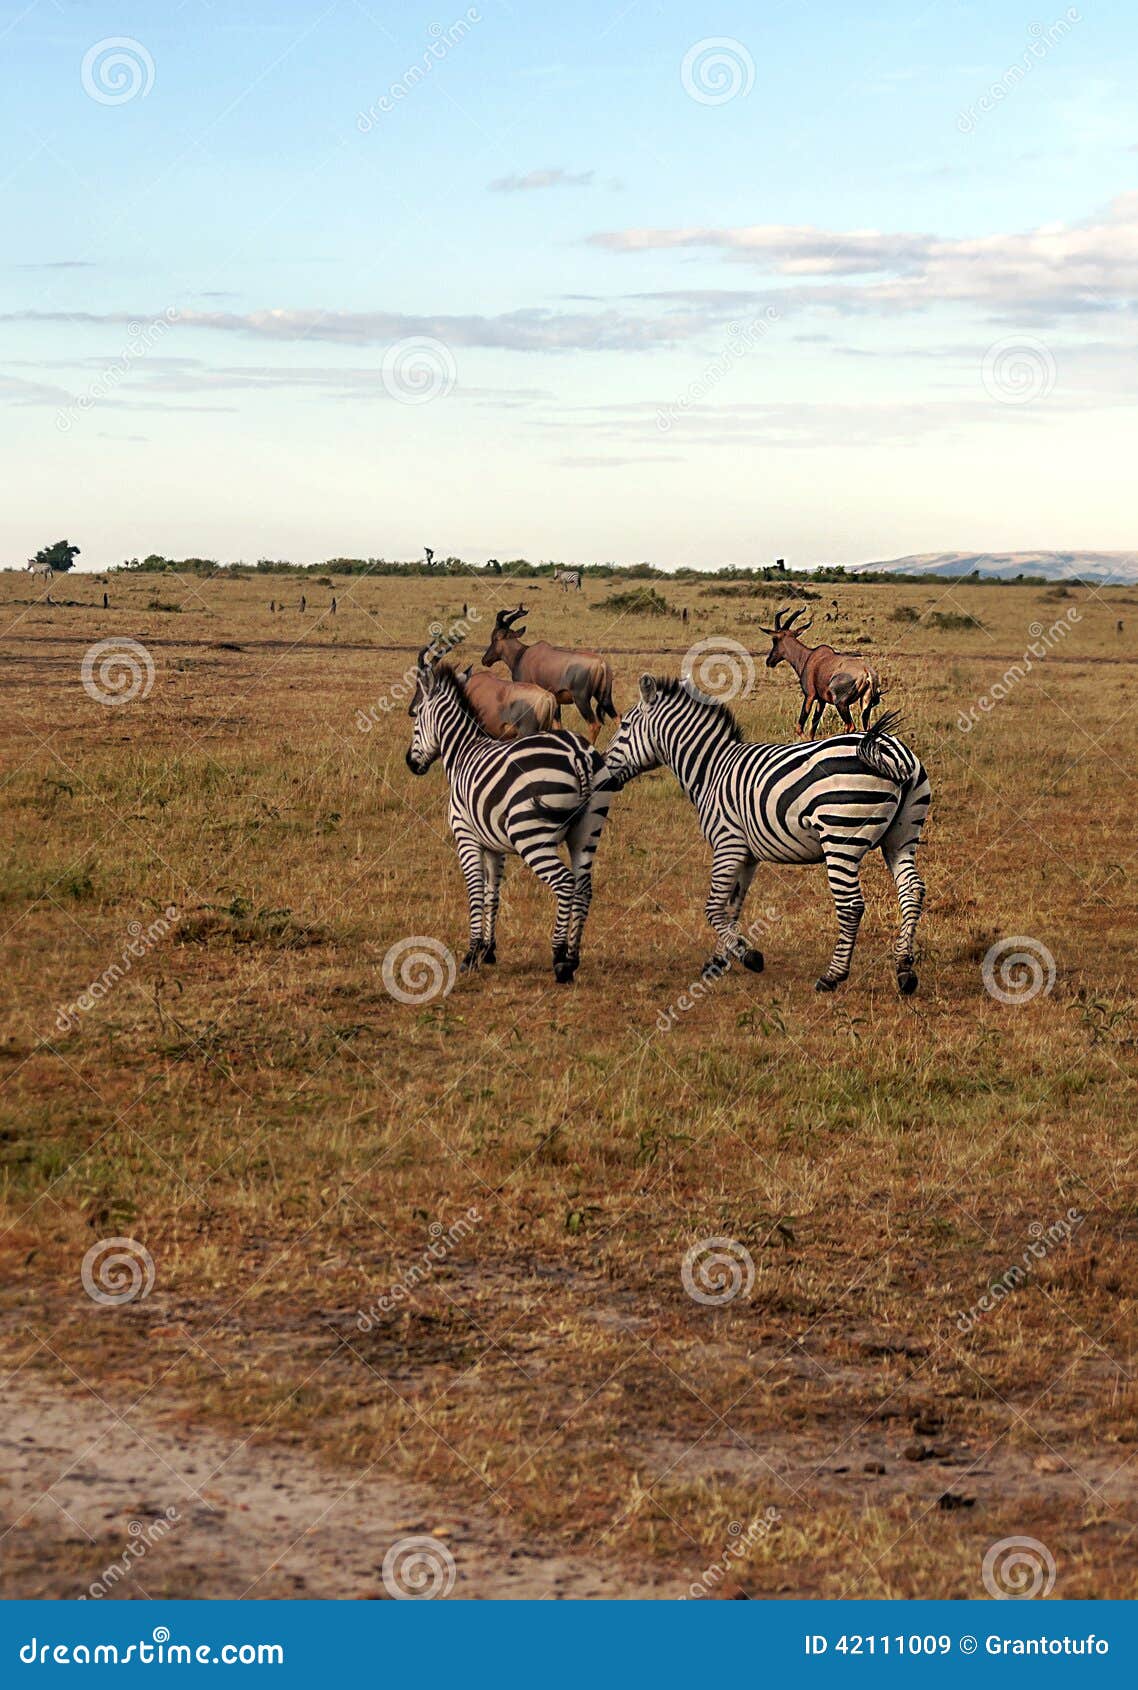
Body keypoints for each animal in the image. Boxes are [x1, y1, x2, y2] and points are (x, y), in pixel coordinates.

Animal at [406, 655, 614, 982]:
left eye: (416, 720)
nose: (410, 763)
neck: (463, 754)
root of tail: (578, 753)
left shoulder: (466, 836)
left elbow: (475, 891)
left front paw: (470, 955)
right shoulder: (494, 845)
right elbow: (493, 893)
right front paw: (488, 951)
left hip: (532, 837)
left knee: (565, 883)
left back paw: (559, 960)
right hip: (587, 831)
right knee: (584, 887)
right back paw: (573, 958)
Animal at [601, 677, 930, 994]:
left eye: (624, 726)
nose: (602, 774)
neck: (711, 770)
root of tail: (891, 751)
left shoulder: (727, 843)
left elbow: (713, 908)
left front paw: (749, 956)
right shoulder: (746, 855)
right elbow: (730, 906)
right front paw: (719, 960)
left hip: (841, 841)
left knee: (851, 906)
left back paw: (832, 976)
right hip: (901, 839)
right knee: (912, 890)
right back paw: (905, 970)